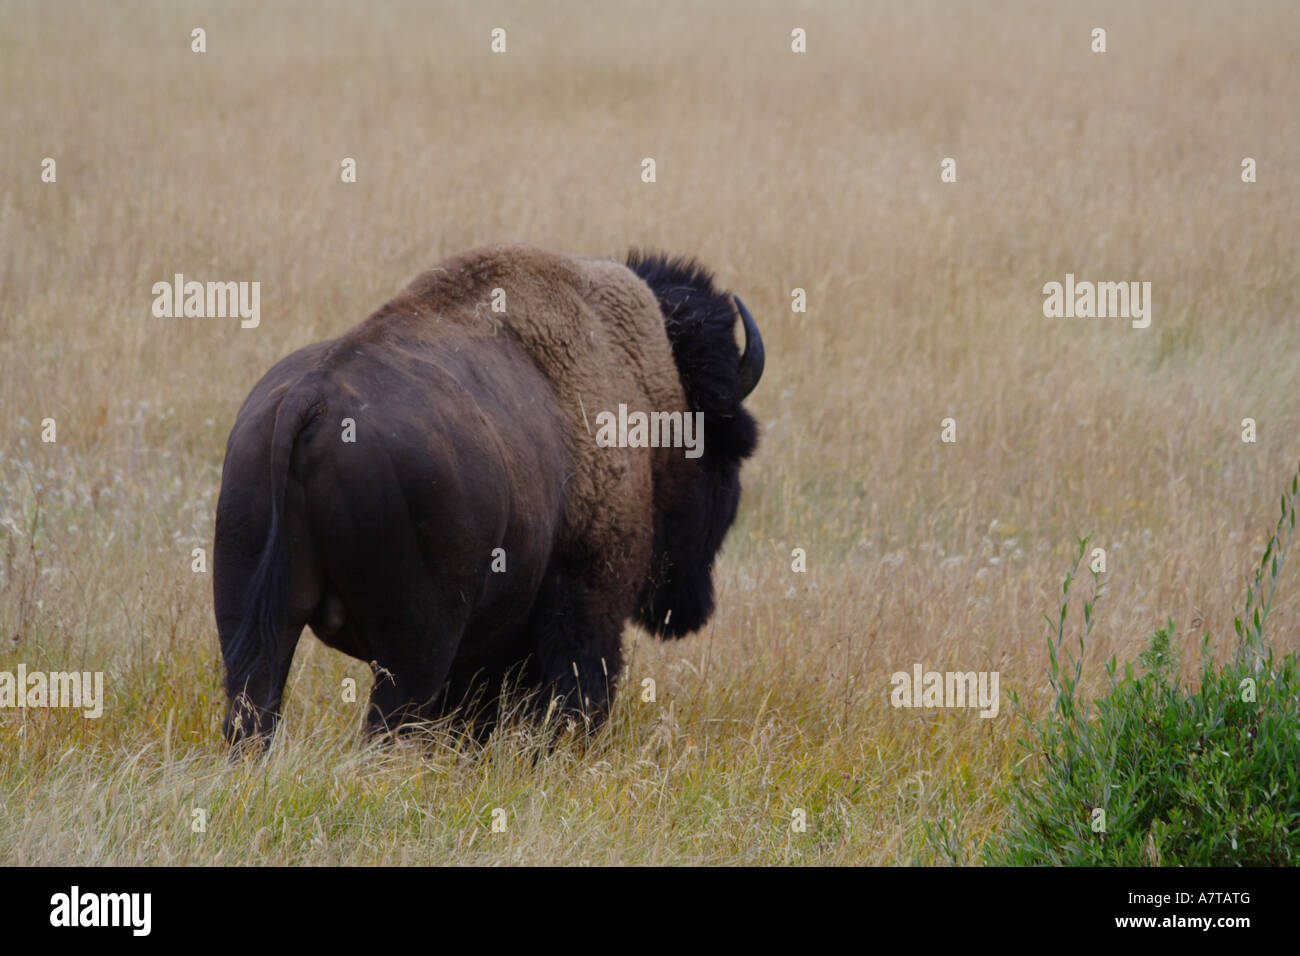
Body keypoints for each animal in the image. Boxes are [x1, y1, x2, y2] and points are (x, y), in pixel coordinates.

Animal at [214, 244, 763, 747]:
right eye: (727, 450)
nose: (693, 607)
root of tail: (312, 399)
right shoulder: (587, 602)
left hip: (253, 621)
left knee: (253, 715)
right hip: (413, 651)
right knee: (387, 726)